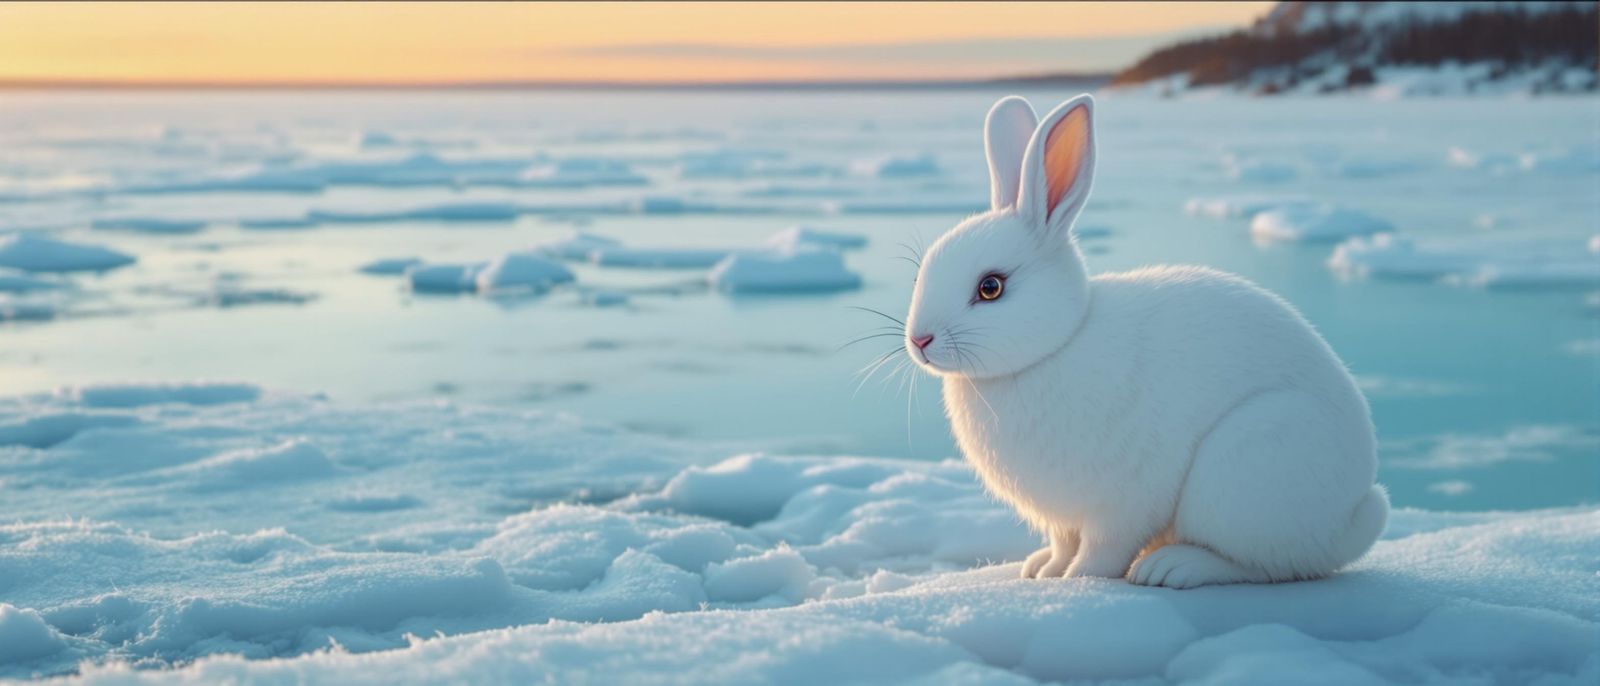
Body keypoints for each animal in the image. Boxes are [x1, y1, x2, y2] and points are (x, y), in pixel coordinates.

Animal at [903, 94, 1388, 589]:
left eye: (991, 287)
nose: (920, 340)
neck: (1055, 347)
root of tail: (1352, 518)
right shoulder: (1063, 518)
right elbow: (1063, 543)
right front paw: (1046, 572)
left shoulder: (1124, 500)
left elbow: (1104, 549)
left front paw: (1079, 580)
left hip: (1246, 467)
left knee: (1265, 564)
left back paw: (1171, 568)